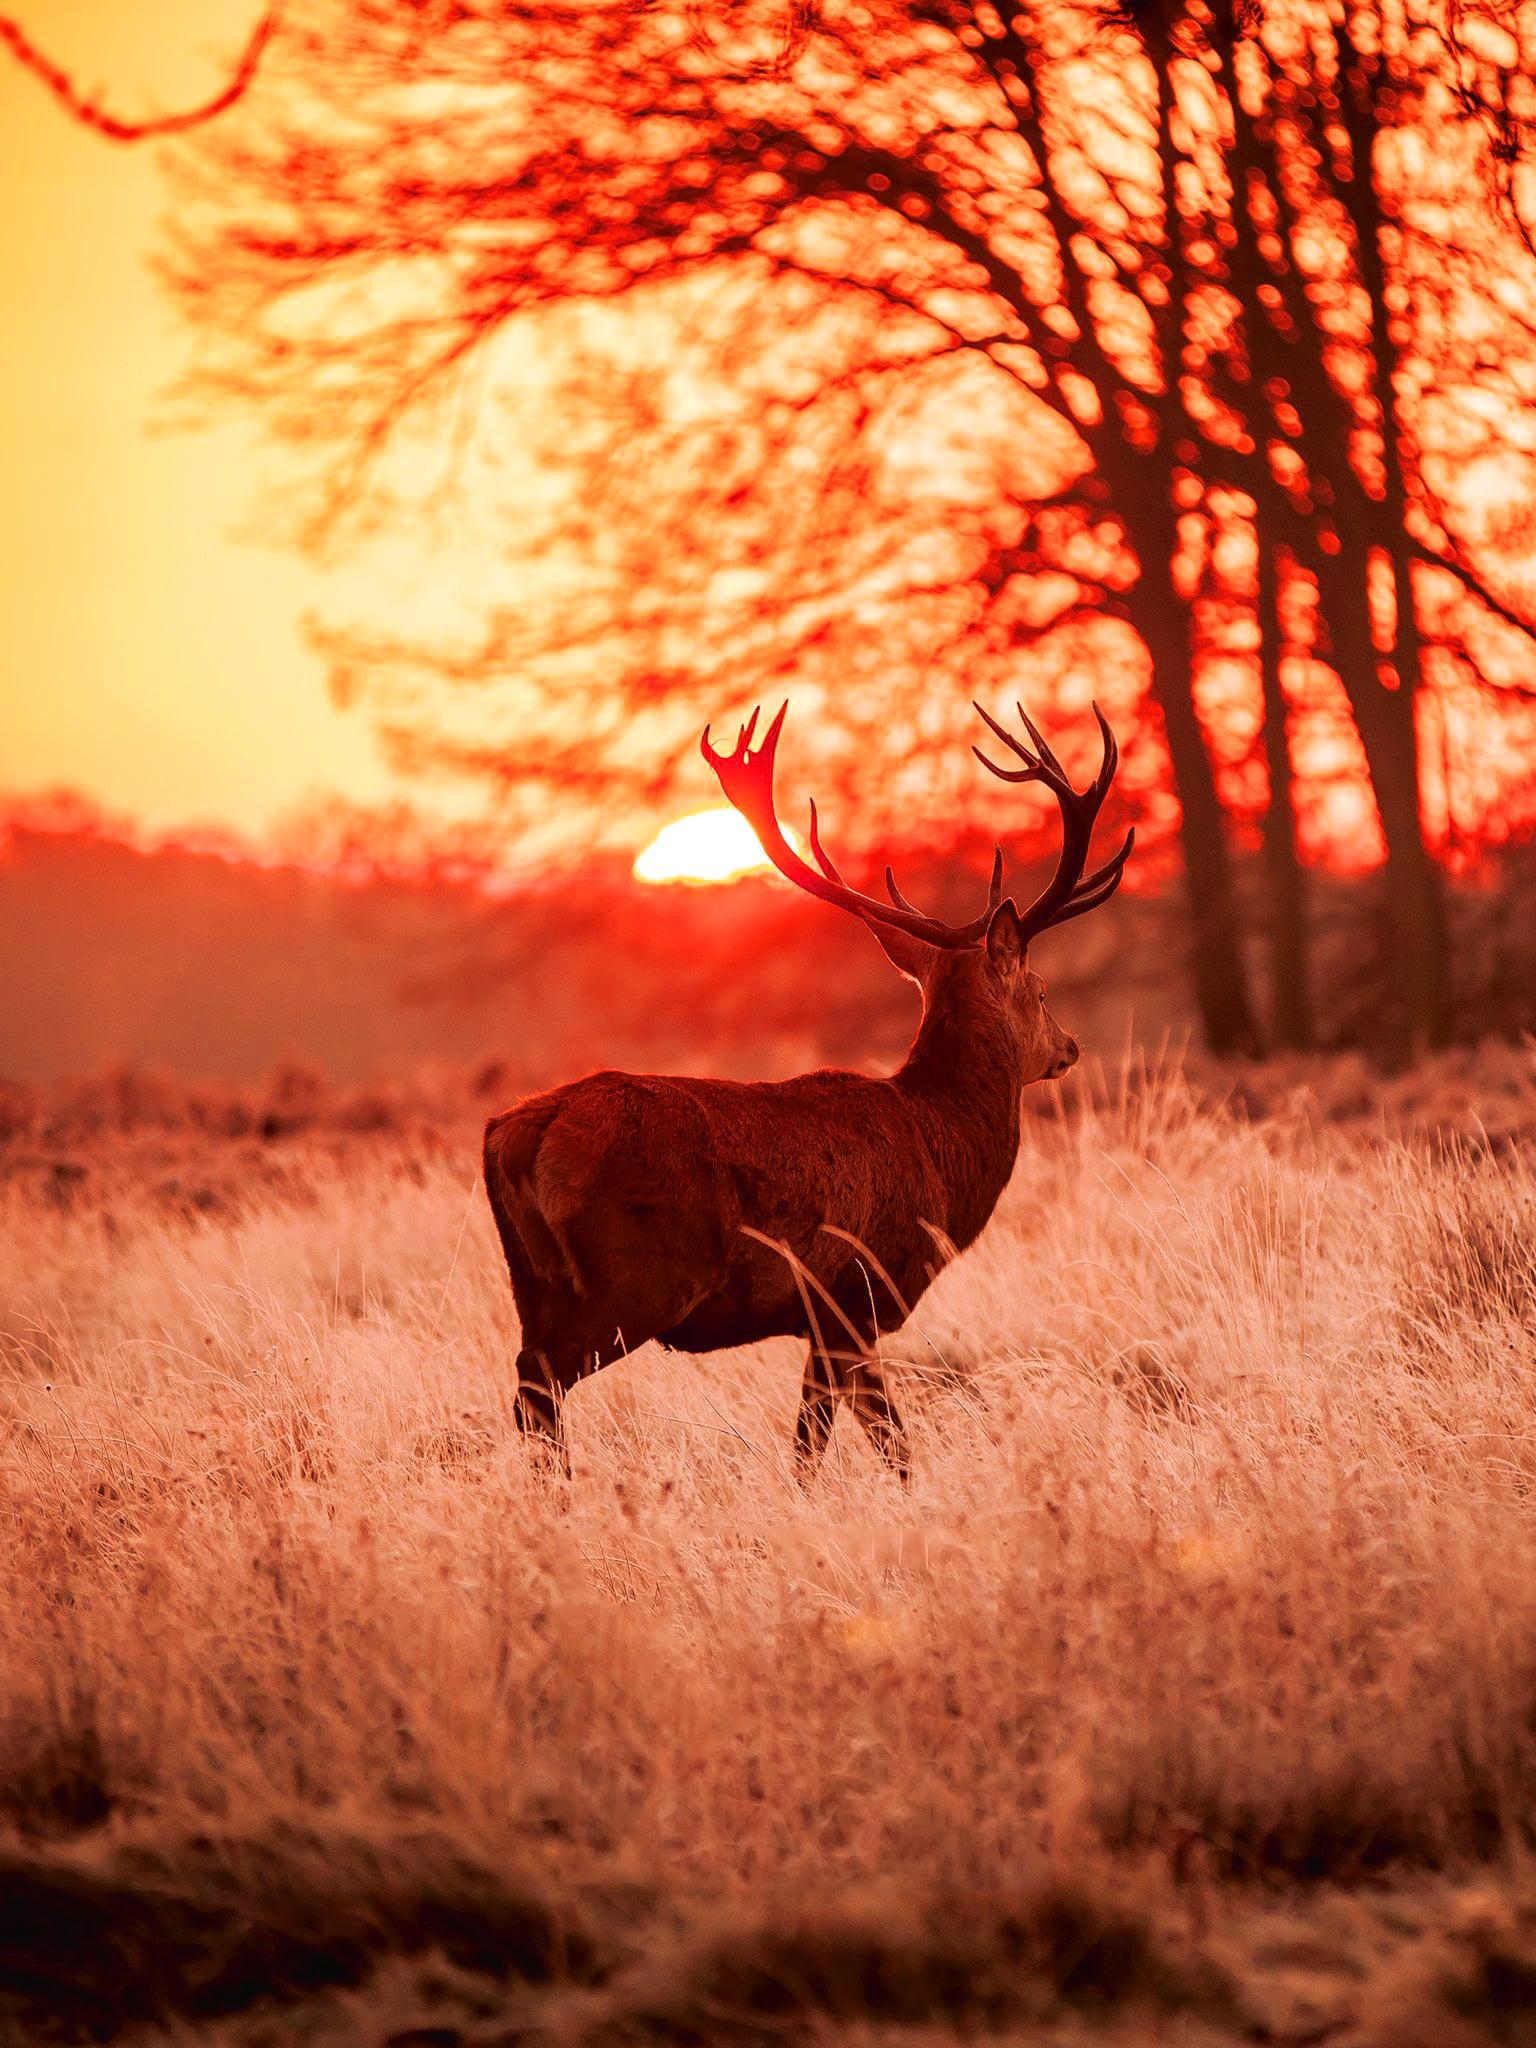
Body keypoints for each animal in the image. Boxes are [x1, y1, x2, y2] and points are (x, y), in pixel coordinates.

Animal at [482, 699, 1132, 1480]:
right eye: (1041, 991)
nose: (1070, 1048)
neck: (940, 1148)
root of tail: (519, 1134)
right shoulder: (856, 1293)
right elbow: (858, 1442)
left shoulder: (830, 1317)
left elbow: (844, 1439)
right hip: (636, 1278)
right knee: (538, 1379)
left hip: (532, 1279)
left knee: (528, 1378)